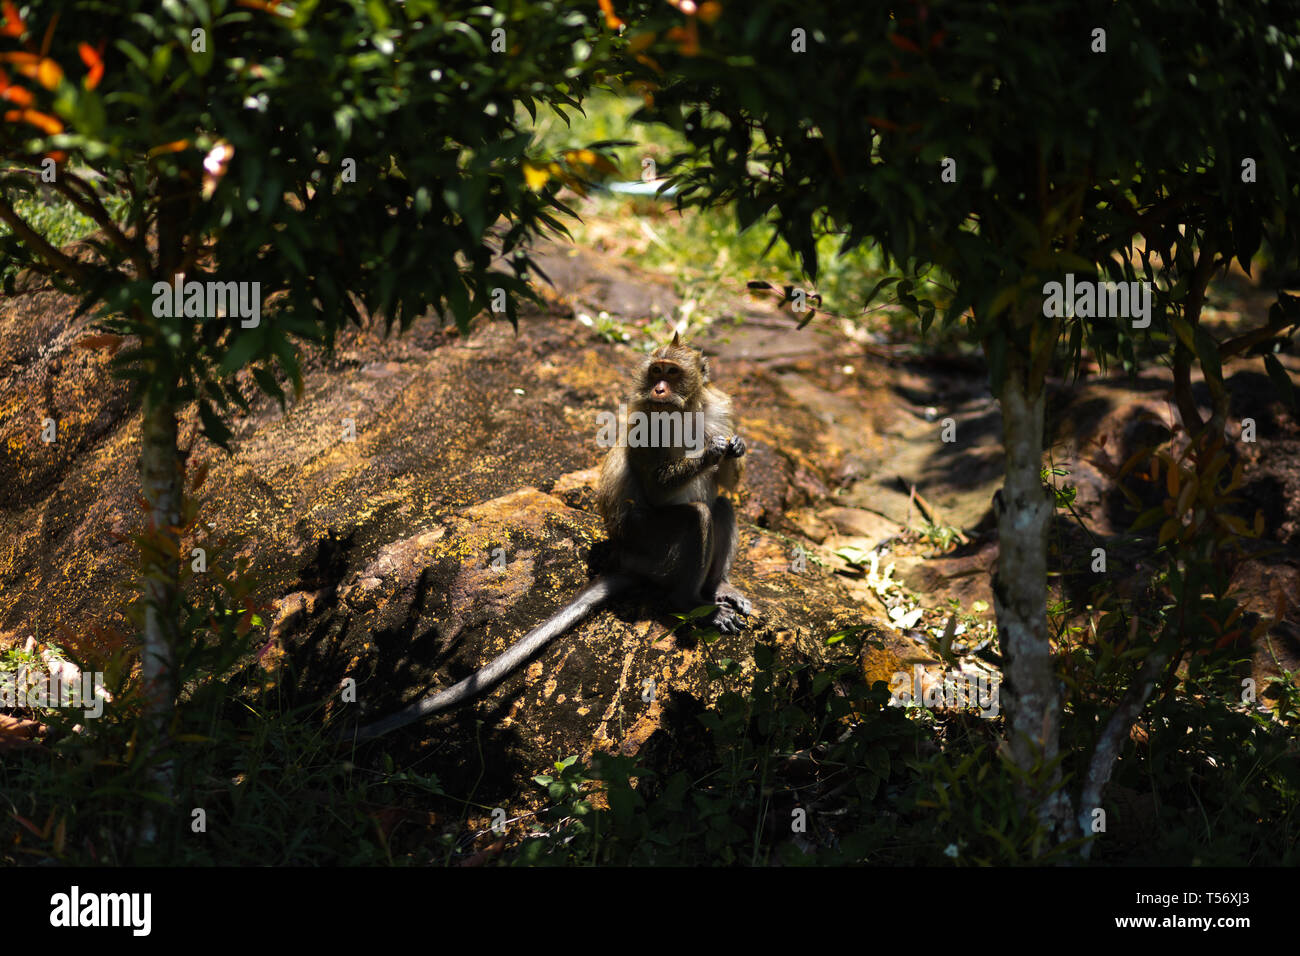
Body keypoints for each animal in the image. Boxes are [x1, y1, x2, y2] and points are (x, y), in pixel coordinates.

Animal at [347, 333, 750, 742]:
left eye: (673, 372)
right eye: (656, 371)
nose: (660, 388)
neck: (687, 408)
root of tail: (625, 559)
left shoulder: (717, 407)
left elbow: (727, 484)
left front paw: (733, 449)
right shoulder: (646, 417)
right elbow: (655, 487)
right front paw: (713, 451)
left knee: (721, 507)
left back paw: (717, 589)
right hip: (648, 544)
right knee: (697, 516)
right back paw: (691, 603)